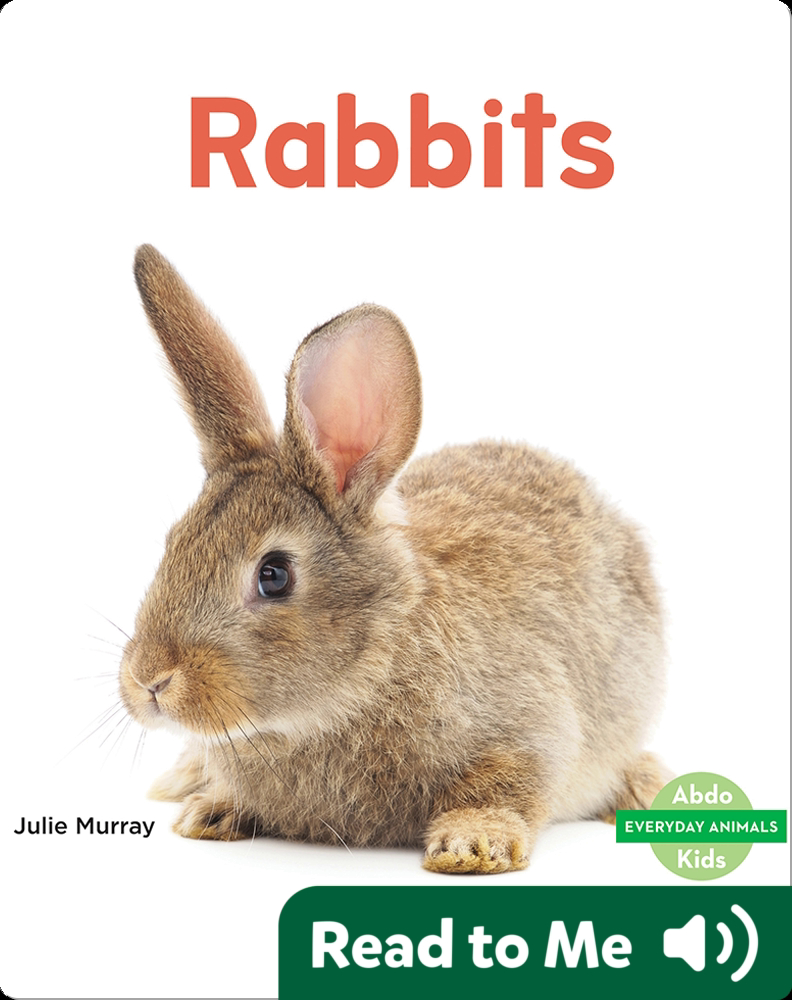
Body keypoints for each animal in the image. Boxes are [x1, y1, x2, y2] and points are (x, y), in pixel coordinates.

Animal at [119, 244, 670, 874]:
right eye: (172, 543)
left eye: (274, 575)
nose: (150, 680)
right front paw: (211, 811)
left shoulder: (532, 727)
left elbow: (507, 784)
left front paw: (471, 846)